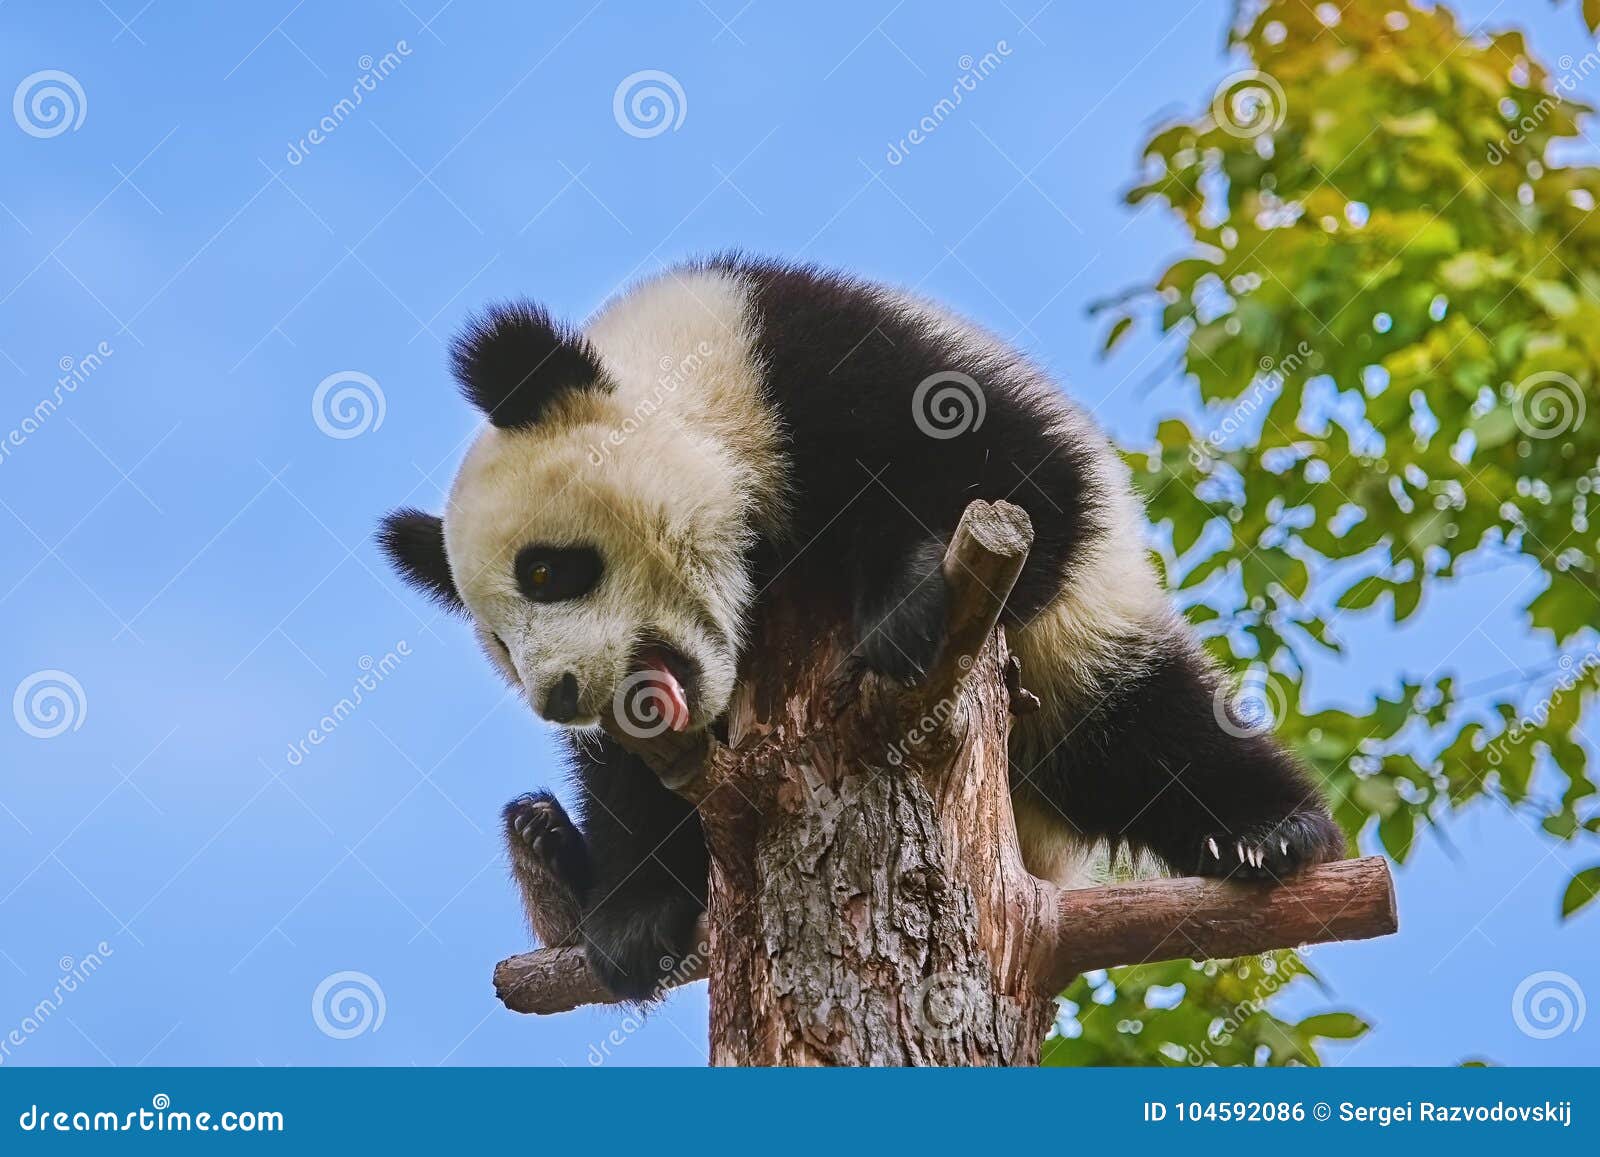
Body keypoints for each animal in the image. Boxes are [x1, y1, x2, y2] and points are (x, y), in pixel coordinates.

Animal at [379, 254, 1344, 1001]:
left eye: (546, 570)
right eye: (501, 645)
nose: (560, 692)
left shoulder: (813, 359)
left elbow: (1027, 477)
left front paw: (903, 609)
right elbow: (627, 769)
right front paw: (632, 915)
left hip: (1078, 648)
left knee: (1144, 727)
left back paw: (1268, 832)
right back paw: (545, 847)